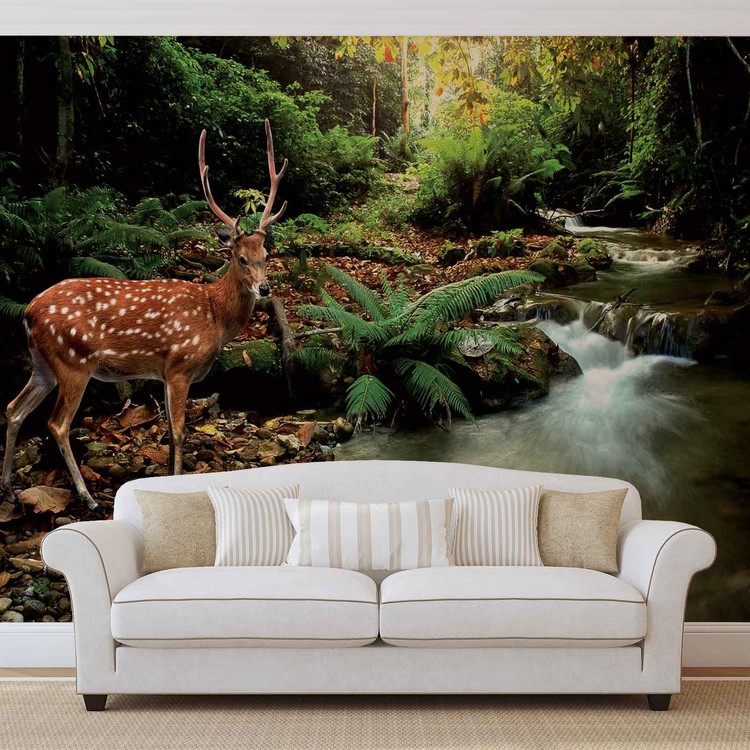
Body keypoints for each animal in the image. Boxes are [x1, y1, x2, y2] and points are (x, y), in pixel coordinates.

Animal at [1, 119, 288, 510]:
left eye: (266, 256)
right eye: (240, 258)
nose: (264, 289)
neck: (214, 315)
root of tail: (28, 311)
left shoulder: (164, 373)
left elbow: (168, 430)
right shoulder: (180, 364)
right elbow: (180, 432)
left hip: (43, 363)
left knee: (13, 408)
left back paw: (7, 488)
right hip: (74, 360)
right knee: (57, 423)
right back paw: (88, 498)